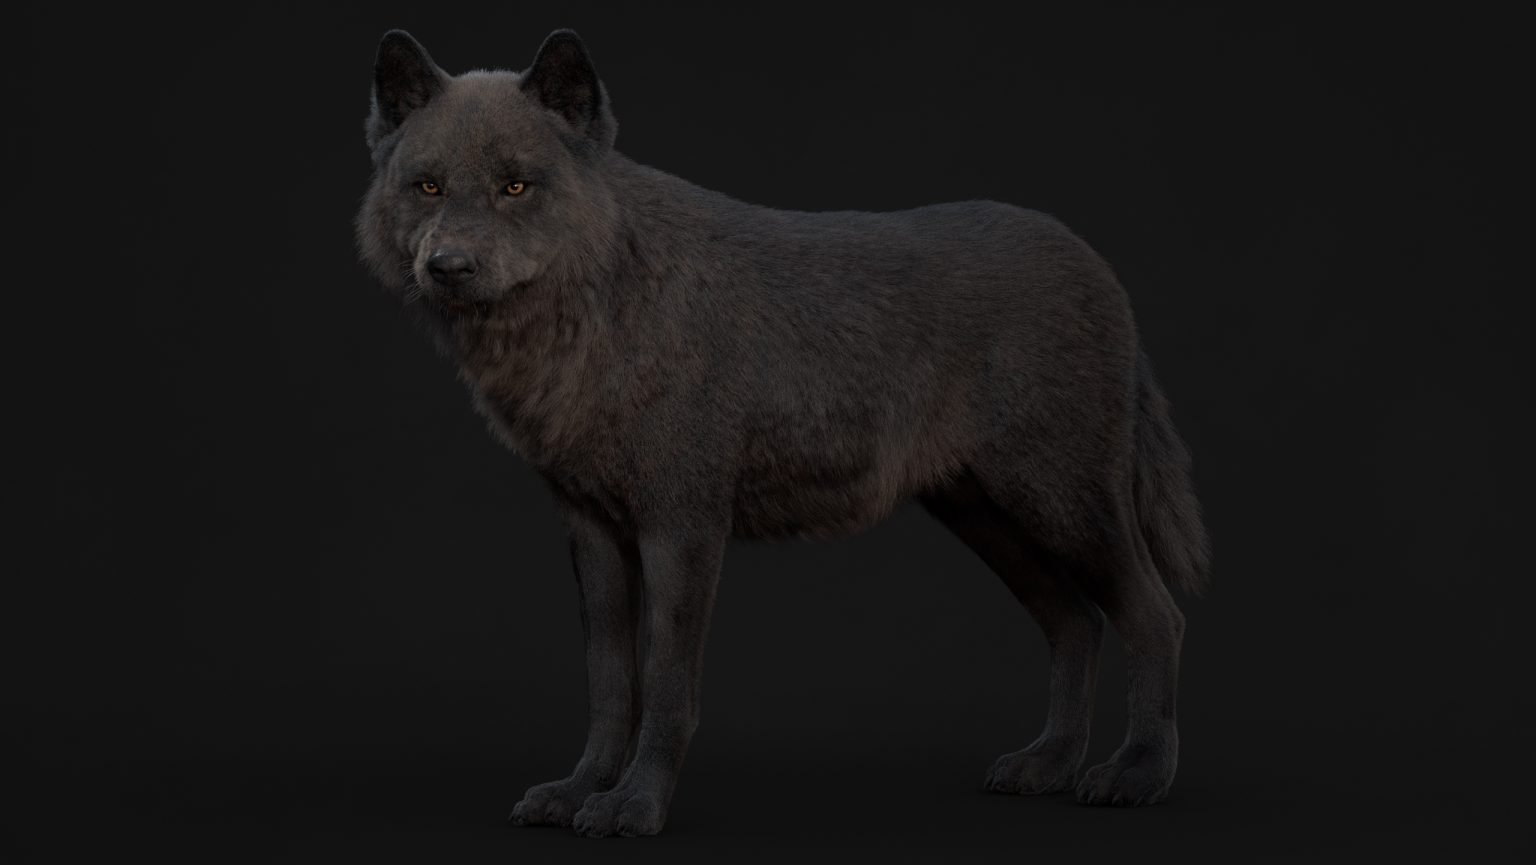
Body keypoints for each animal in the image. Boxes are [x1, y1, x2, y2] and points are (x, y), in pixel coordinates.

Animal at [355, 28, 1210, 838]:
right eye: (428, 185)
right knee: (1077, 621)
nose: (448, 265)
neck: (599, 313)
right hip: (986, 517)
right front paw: (576, 793)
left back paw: (1135, 774)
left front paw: (634, 807)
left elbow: (665, 686)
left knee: (1156, 615)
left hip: (1061, 504)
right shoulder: (592, 531)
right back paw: (1047, 765)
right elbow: (608, 684)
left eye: (515, 186)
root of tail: (1099, 267)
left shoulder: (683, 526)